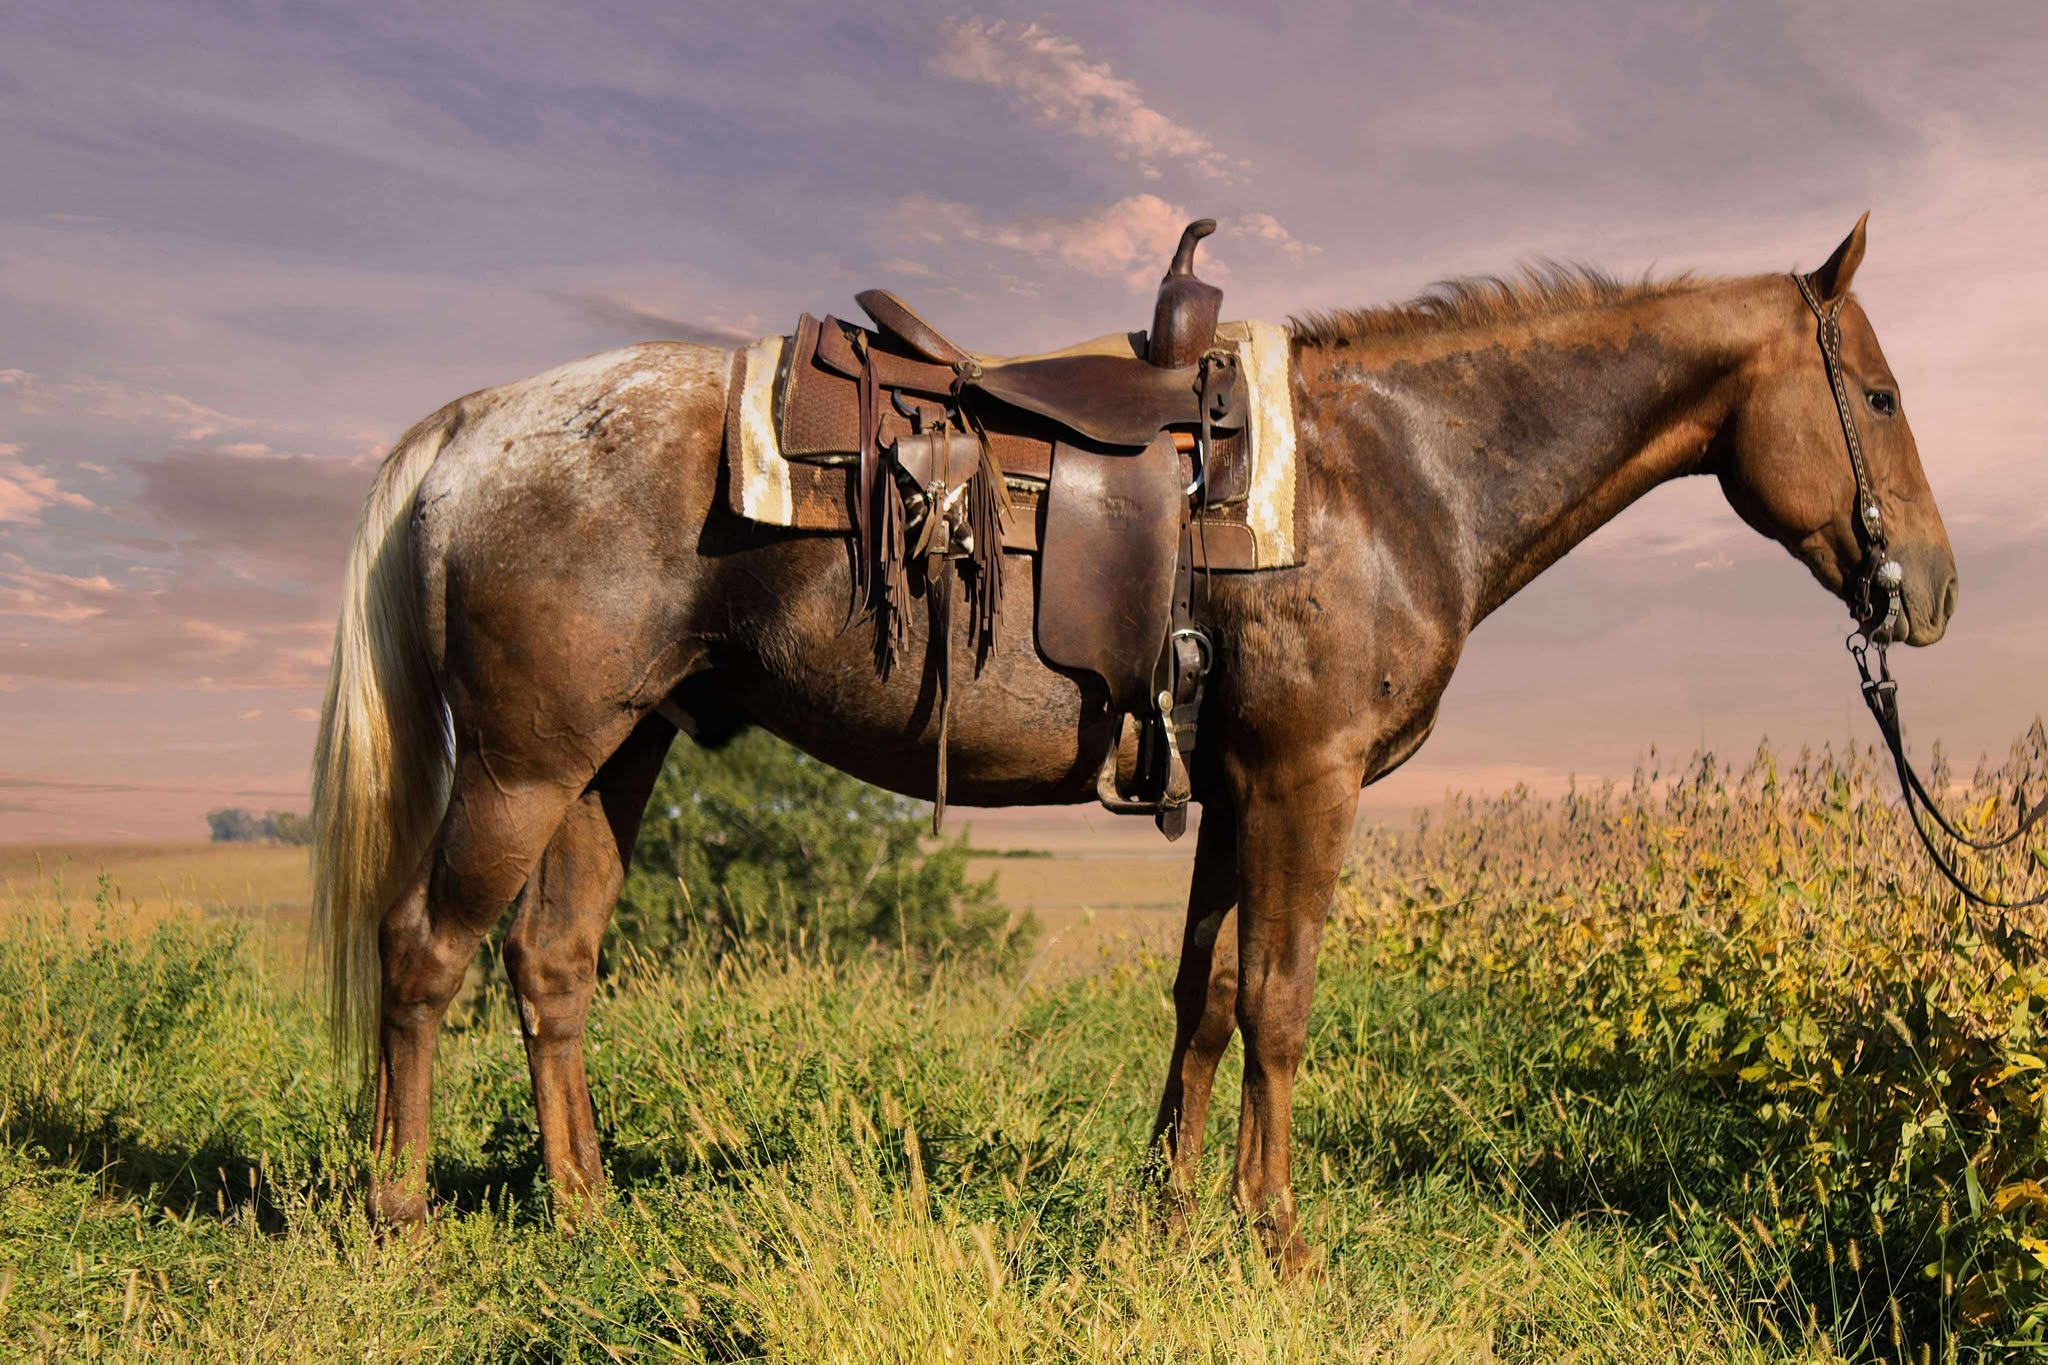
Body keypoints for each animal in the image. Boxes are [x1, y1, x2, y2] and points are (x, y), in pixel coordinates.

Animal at [309, 216, 1956, 1271]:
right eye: (1876, 392)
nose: (1928, 591)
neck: (1398, 470)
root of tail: (479, 424)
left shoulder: (1233, 789)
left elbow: (1205, 996)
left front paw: (1170, 1213)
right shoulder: (1305, 782)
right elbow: (1281, 1002)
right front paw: (1277, 1237)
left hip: (616, 755)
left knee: (551, 966)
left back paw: (585, 1211)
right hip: (523, 763)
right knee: (425, 952)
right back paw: (398, 1217)